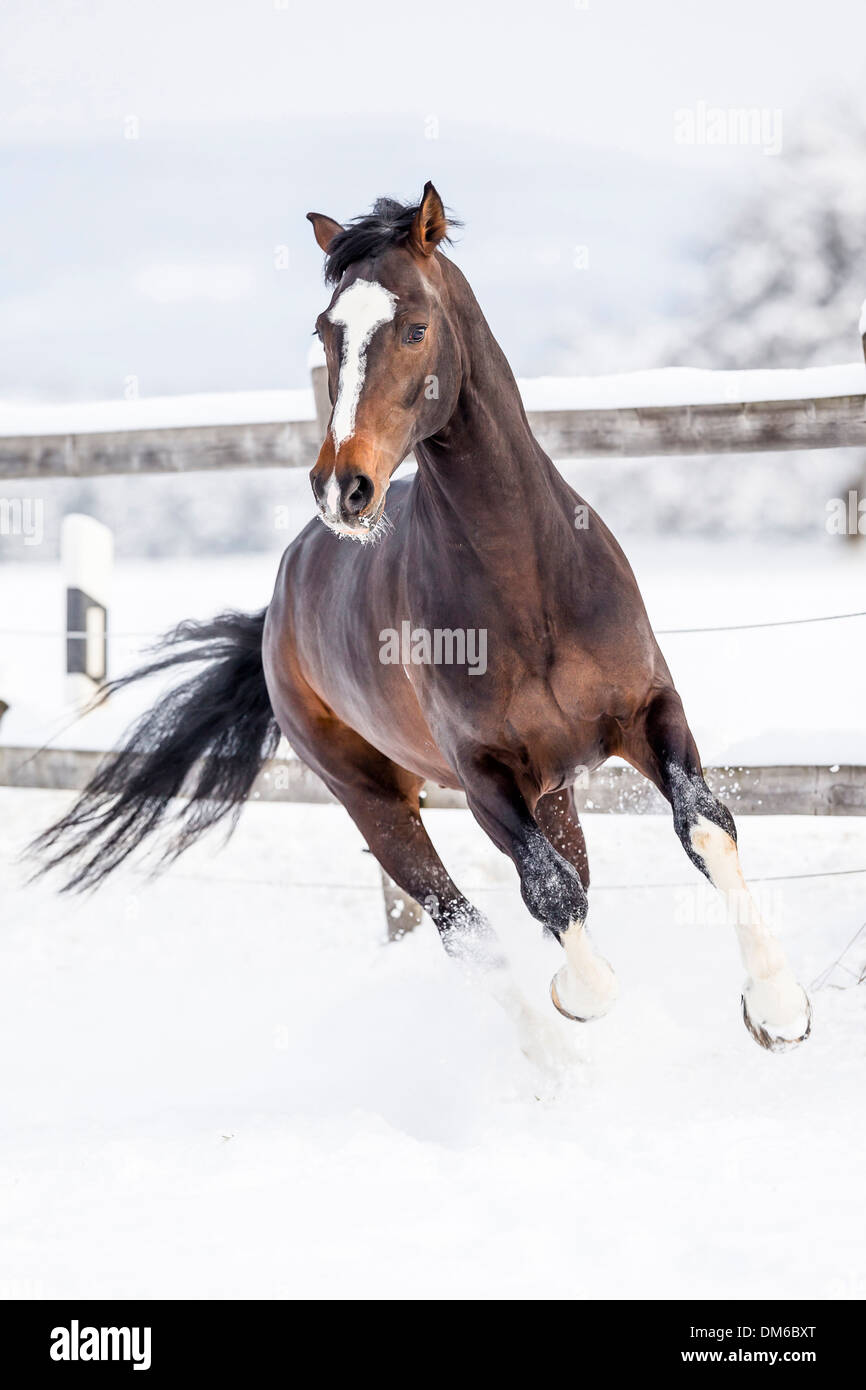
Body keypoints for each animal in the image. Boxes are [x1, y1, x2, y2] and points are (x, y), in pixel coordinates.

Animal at [34, 183, 811, 1054]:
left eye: (414, 328)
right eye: (326, 331)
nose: (343, 489)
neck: (528, 585)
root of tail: (280, 601)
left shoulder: (647, 712)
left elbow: (703, 827)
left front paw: (779, 1009)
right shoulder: (482, 777)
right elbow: (550, 896)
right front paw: (584, 997)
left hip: (554, 790)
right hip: (374, 799)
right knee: (464, 928)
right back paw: (555, 1064)